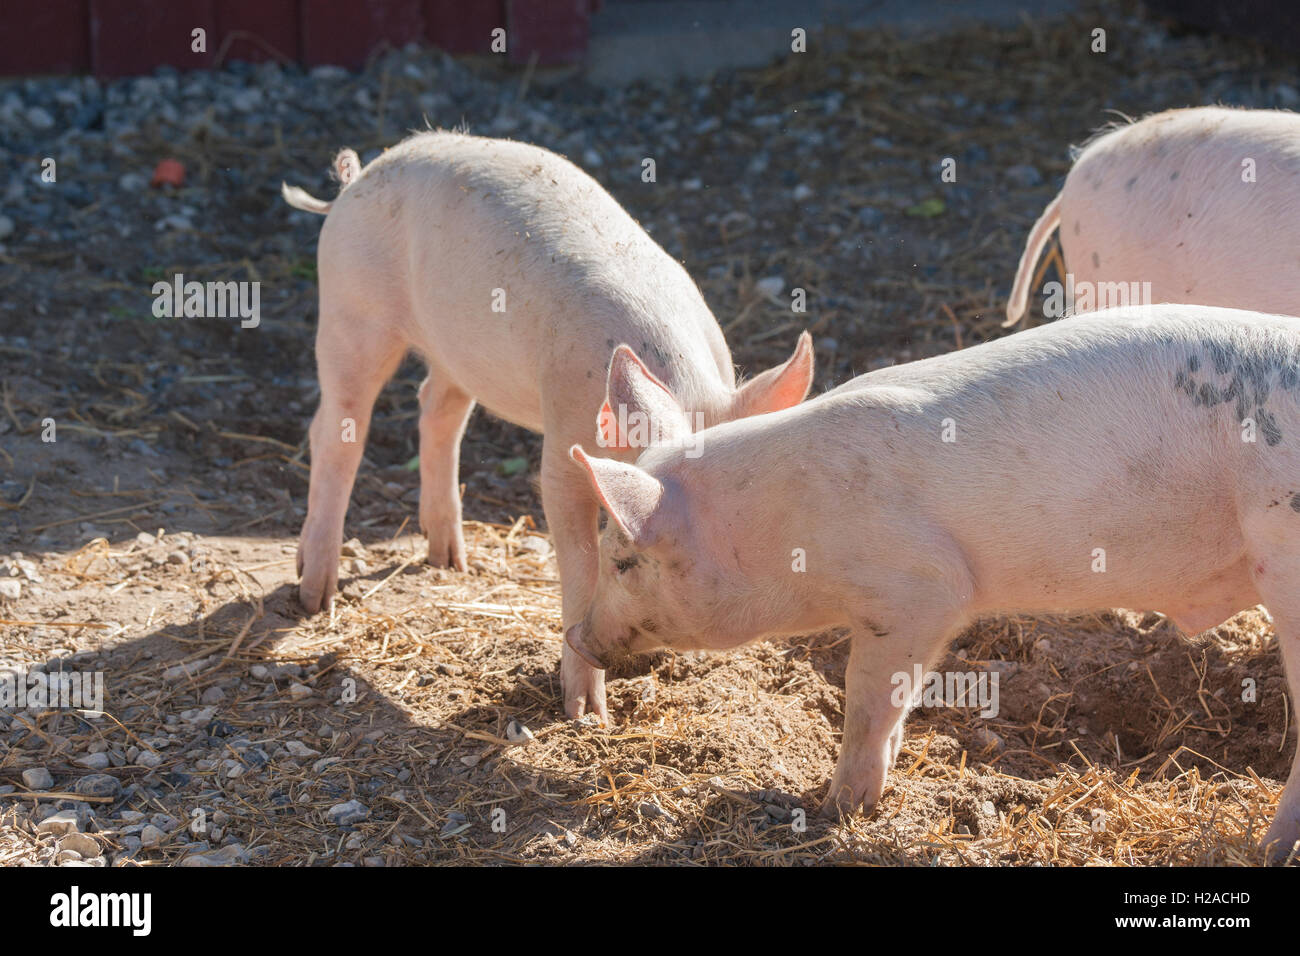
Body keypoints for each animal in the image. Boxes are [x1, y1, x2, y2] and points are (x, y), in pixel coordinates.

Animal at [281, 131, 814, 721]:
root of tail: (359, 180)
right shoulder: (562, 444)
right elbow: (579, 560)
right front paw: (587, 713)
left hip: (458, 350)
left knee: (436, 407)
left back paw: (451, 561)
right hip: (350, 308)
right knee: (336, 429)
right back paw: (315, 595)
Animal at [565, 303, 1300, 861]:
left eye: (625, 561)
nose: (577, 637)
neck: (779, 529)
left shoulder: (919, 589)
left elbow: (867, 700)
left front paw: (837, 809)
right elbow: (898, 702)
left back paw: (1266, 852)